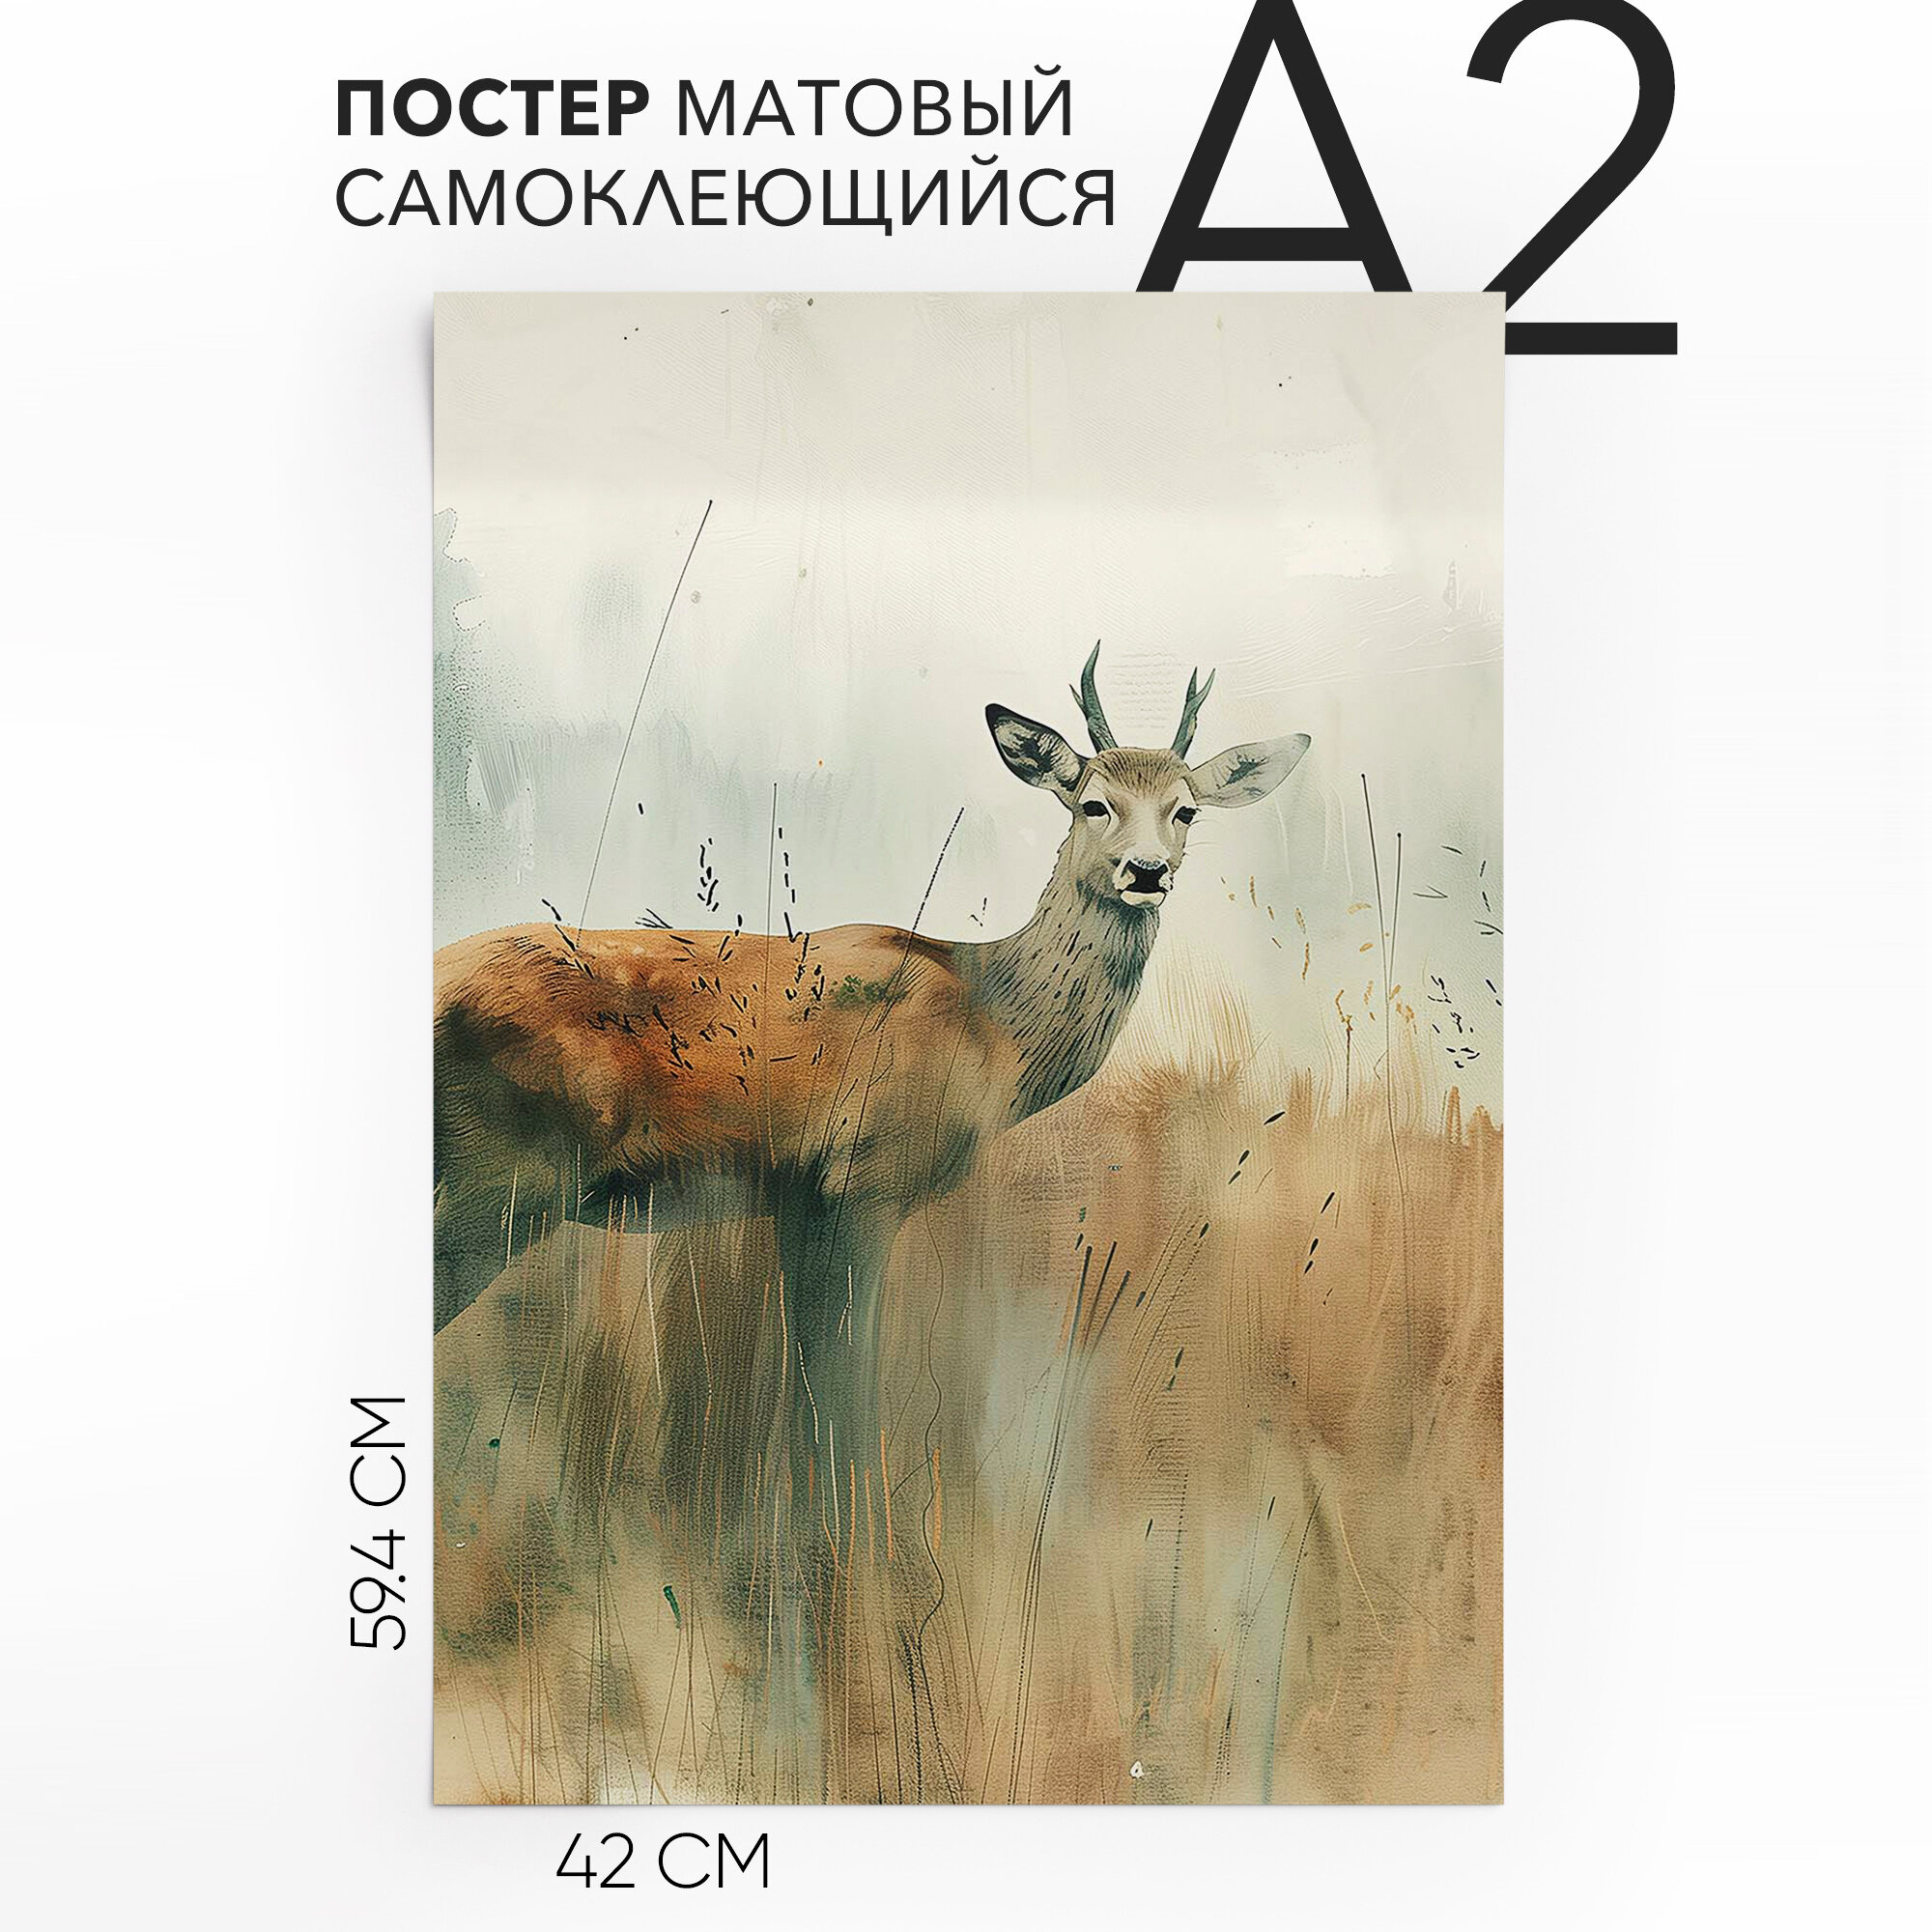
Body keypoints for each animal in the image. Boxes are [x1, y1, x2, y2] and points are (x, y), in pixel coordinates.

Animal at [433, 647, 1309, 1467]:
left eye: (1185, 810)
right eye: (1093, 801)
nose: (1147, 871)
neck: (993, 1024)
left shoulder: (798, 1200)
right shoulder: (861, 1181)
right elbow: (842, 1409)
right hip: (508, 1177)